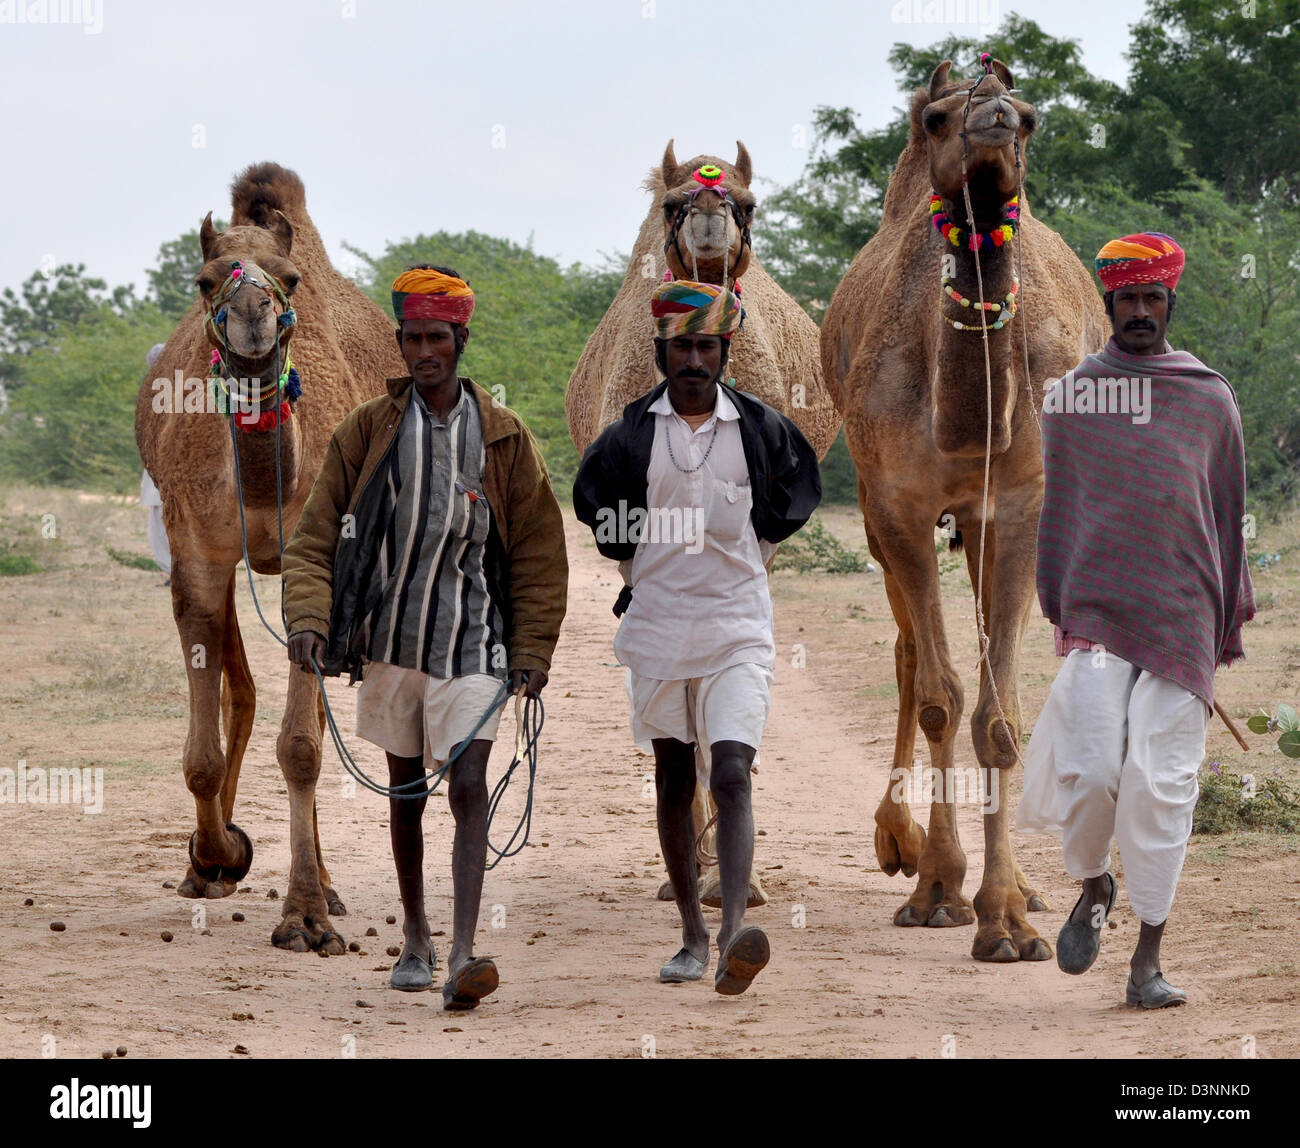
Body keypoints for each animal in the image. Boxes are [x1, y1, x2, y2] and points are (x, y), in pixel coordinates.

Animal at [136, 163, 404, 954]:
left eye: (289, 278)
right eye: (203, 280)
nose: (253, 310)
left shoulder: (318, 560)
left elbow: (304, 746)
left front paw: (307, 916)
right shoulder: (195, 553)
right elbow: (201, 752)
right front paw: (215, 857)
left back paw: (329, 888)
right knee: (241, 688)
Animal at [820, 59, 1109, 961]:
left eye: (1032, 118)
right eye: (938, 119)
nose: (994, 122)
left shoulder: (1017, 510)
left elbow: (1000, 716)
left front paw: (1008, 917)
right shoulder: (898, 508)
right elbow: (942, 696)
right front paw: (942, 890)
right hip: (877, 519)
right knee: (912, 657)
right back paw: (902, 849)